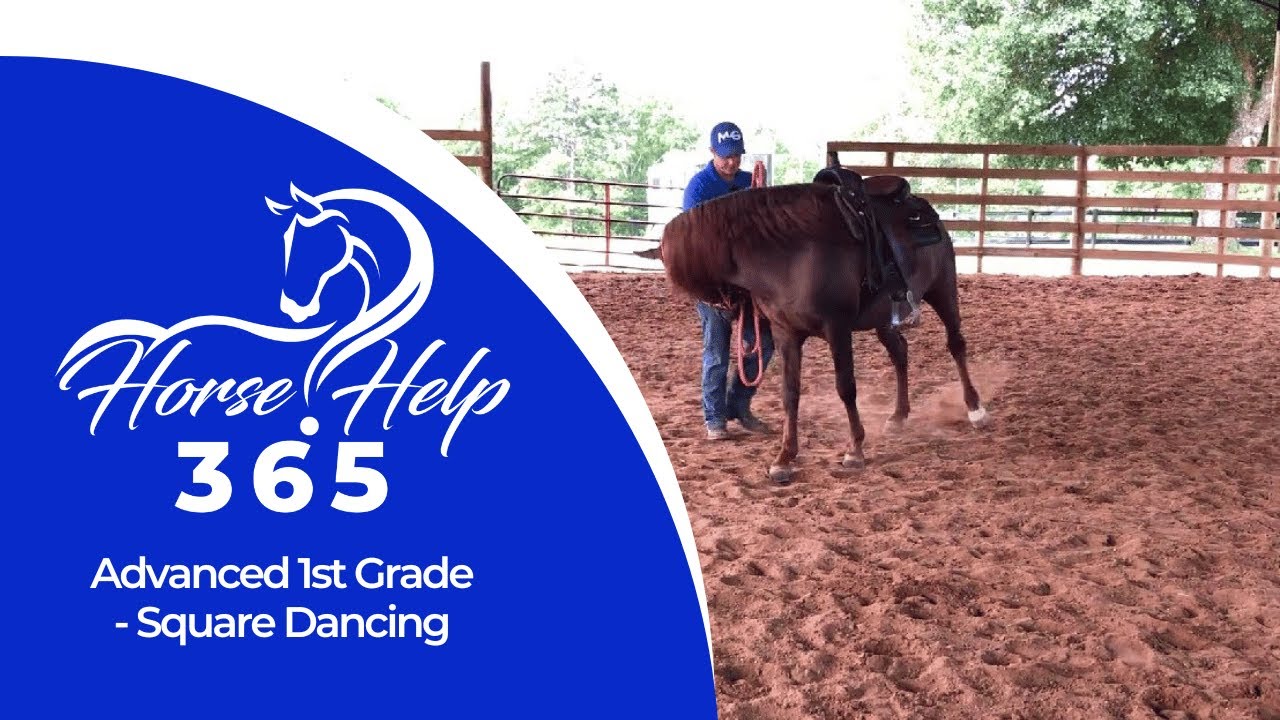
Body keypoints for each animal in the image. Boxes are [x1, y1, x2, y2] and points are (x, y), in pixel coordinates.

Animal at [655, 170, 988, 484]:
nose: (727, 311)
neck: (792, 252)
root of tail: (924, 208)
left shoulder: (837, 329)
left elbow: (846, 387)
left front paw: (854, 450)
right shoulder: (786, 334)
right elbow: (790, 394)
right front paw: (784, 458)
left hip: (943, 291)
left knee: (956, 344)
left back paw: (976, 410)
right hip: (884, 318)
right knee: (900, 353)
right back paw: (898, 416)